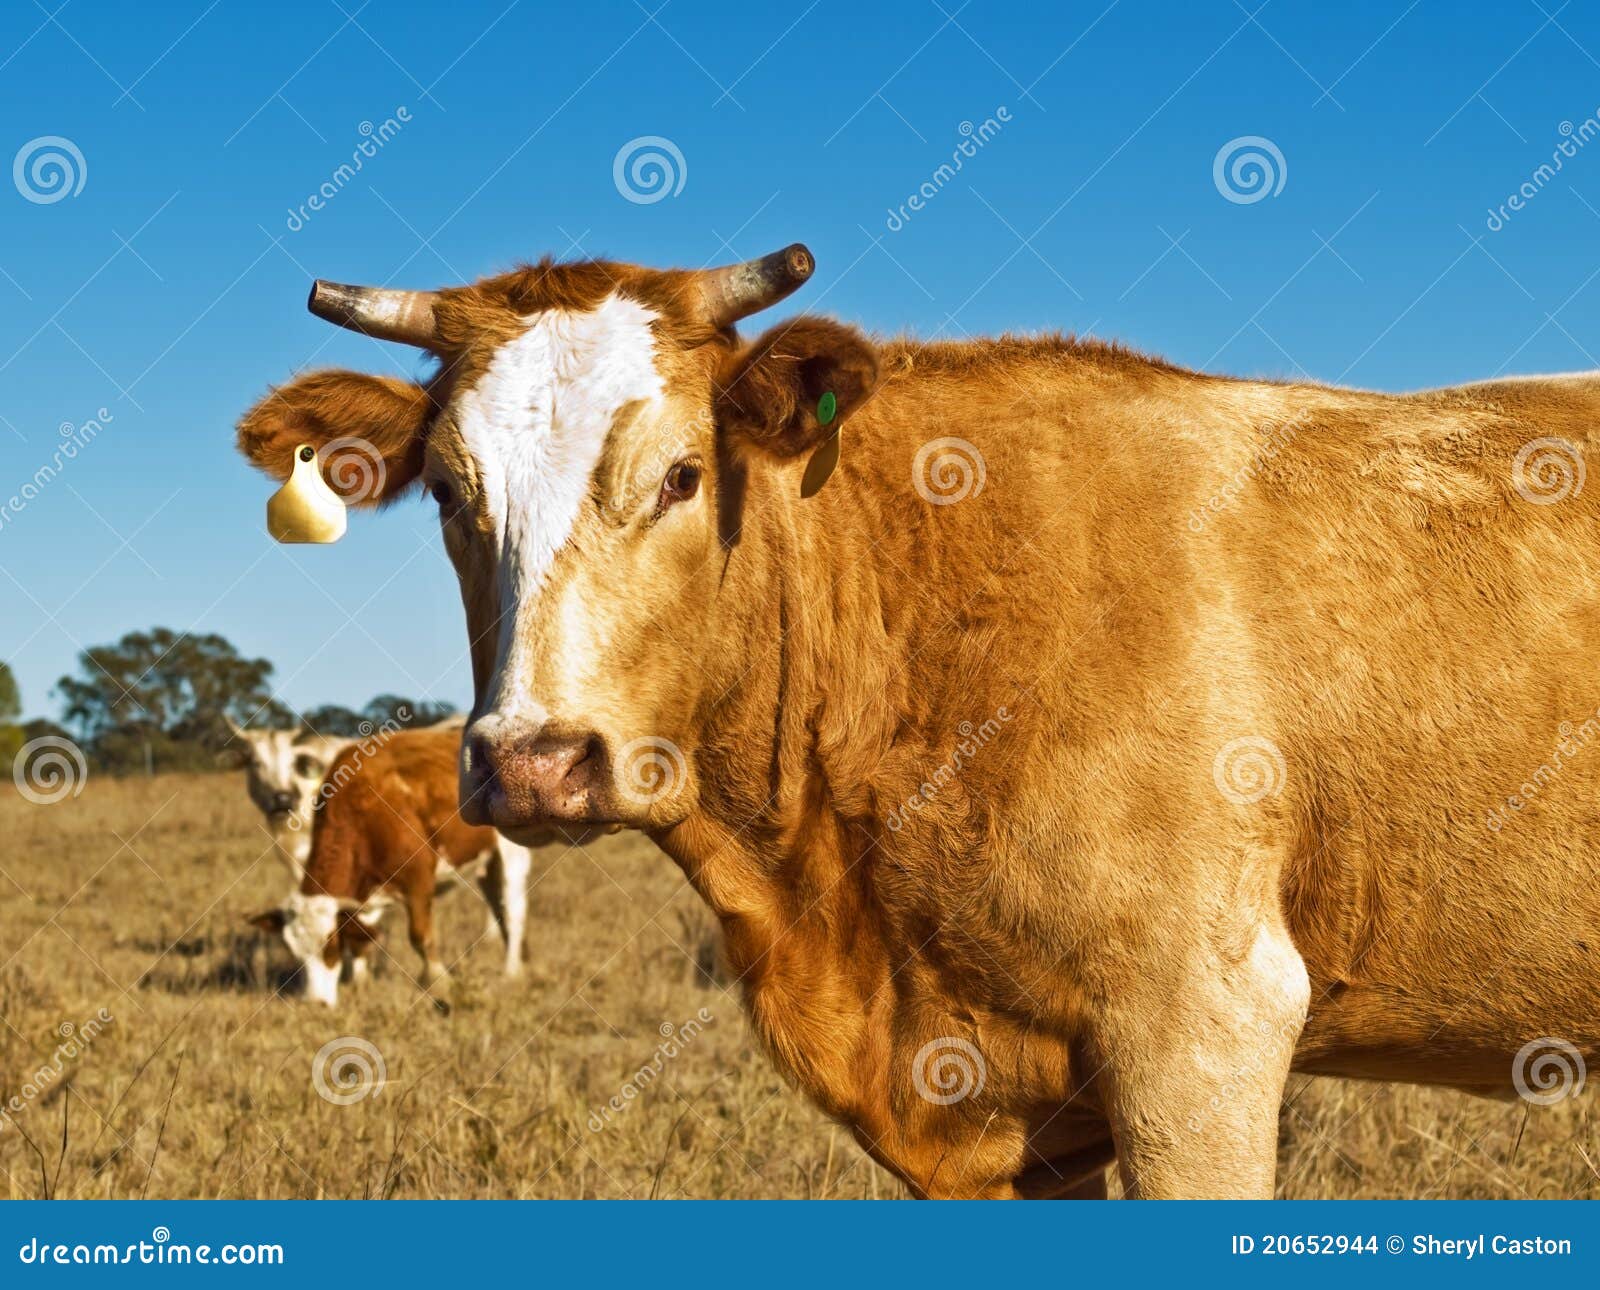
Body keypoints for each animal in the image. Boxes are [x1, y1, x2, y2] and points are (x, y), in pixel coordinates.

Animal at [250, 722, 550, 1007]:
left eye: (331, 947)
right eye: (295, 953)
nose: (315, 1004)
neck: (362, 809)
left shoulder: (418, 880)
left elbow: (420, 937)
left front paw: (440, 982)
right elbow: (361, 938)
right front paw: (360, 984)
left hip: (511, 853)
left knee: (514, 911)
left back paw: (511, 971)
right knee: (498, 907)